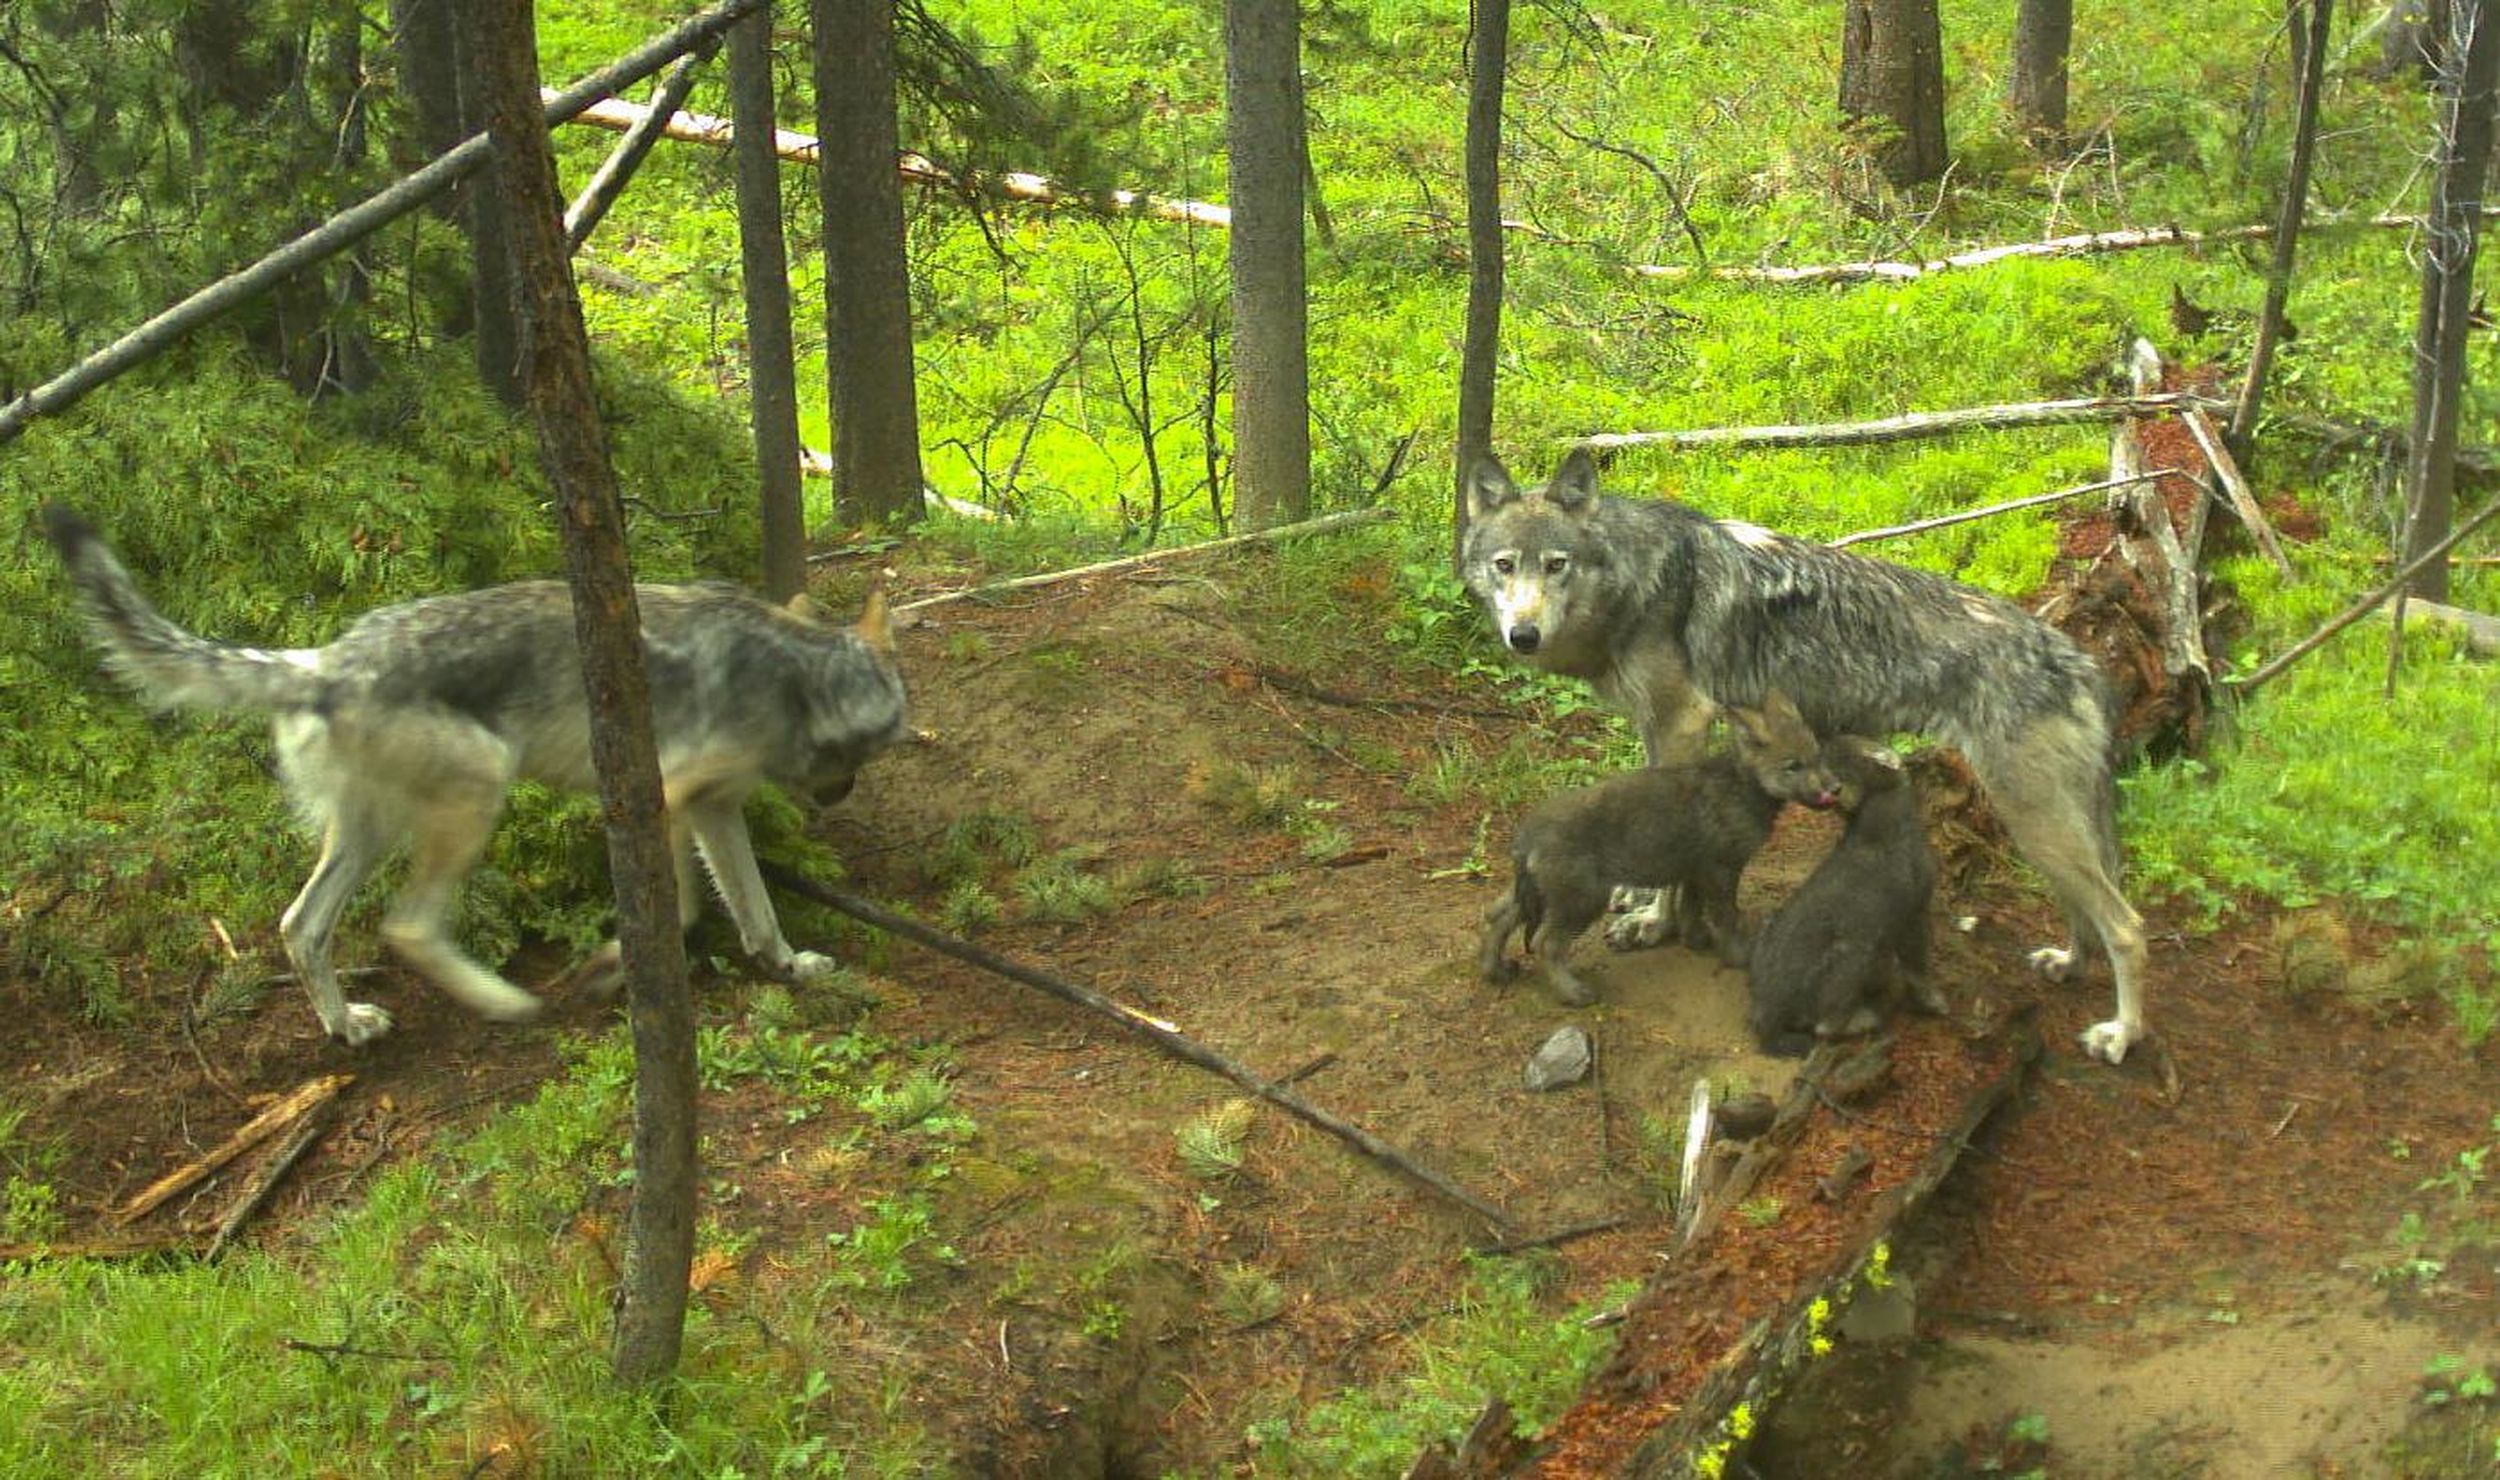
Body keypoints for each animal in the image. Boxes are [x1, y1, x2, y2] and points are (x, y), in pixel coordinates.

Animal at [42, 506, 908, 1047]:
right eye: (875, 752)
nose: (840, 797)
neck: (797, 678)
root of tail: (323, 662)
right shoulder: (662, 801)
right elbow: (689, 913)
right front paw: (613, 970)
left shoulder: (713, 813)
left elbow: (756, 914)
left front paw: (790, 968)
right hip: (477, 796)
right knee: (406, 928)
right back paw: (504, 1001)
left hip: (369, 834)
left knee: (300, 925)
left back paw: (346, 1026)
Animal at [1478, 691, 1840, 1007]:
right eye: (1793, 765)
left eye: (1818, 758)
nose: (1835, 788)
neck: (1742, 786)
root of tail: (1527, 836)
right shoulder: (1721, 868)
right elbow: (1726, 918)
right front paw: (1738, 955)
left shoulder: (1697, 868)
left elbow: (1692, 912)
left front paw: (1697, 942)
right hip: (1581, 898)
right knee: (1546, 943)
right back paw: (1574, 993)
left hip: (1538, 893)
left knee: (1498, 915)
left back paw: (1495, 970)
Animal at [1747, 738, 1943, 1057]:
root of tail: (1770, 1012)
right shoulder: (1914, 914)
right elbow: (1918, 966)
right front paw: (1933, 1002)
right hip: (1858, 950)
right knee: (1825, 1027)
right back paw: (1866, 1018)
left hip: (1768, 924)